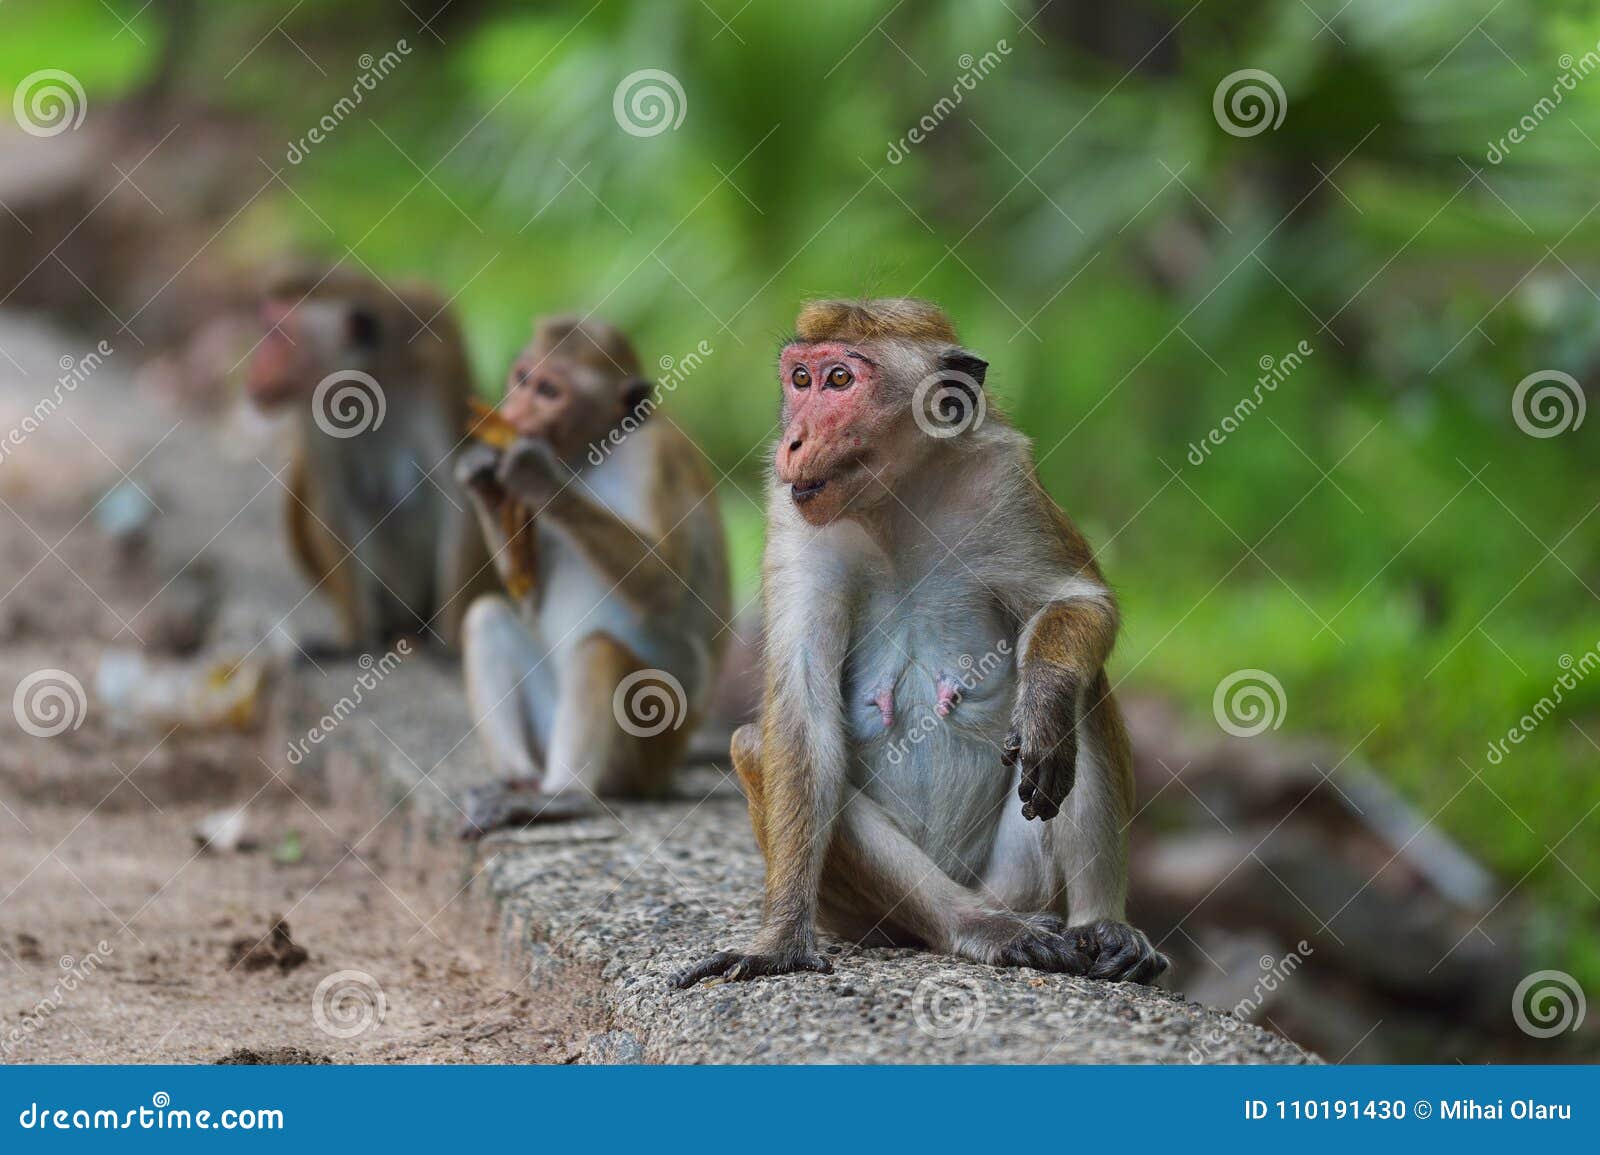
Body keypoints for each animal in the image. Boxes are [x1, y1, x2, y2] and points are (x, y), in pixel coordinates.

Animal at [245, 265, 494, 657]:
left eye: (277, 333)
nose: (255, 365)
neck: (372, 374)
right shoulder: (313, 405)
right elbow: (337, 504)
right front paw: (353, 641)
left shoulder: (440, 371)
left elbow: (460, 492)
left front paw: (450, 644)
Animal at [452, 314, 730, 836]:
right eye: (521, 378)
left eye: (548, 391)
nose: (514, 411)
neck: (593, 453)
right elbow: (526, 595)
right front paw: (483, 475)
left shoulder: (654, 457)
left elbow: (666, 587)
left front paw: (535, 473)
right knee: (487, 618)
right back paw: (518, 782)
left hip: (647, 749)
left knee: (600, 651)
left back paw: (564, 797)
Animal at [676, 298, 1168, 987]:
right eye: (799, 380)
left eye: (838, 380)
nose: (794, 440)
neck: (897, 502)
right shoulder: (793, 520)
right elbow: (802, 714)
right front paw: (778, 945)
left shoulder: (1004, 485)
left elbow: (1076, 601)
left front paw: (1044, 702)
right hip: (870, 916)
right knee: (756, 746)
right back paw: (981, 929)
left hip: (1020, 879)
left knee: (1084, 695)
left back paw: (1101, 926)